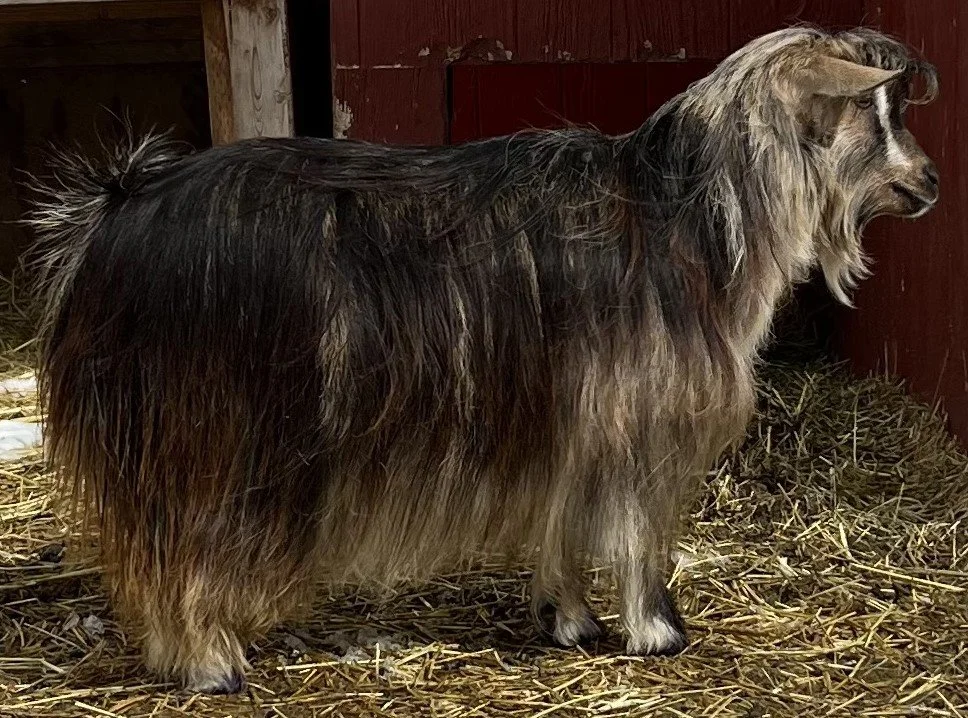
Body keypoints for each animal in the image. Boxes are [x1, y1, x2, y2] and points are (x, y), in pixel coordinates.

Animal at [26, 26, 939, 693]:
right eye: (872, 114)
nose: (929, 182)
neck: (693, 224)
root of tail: (117, 214)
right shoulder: (642, 415)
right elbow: (637, 527)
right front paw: (658, 632)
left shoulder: (576, 414)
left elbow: (565, 511)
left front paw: (568, 619)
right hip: (212, 430)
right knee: (183, 545)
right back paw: (208, 665)